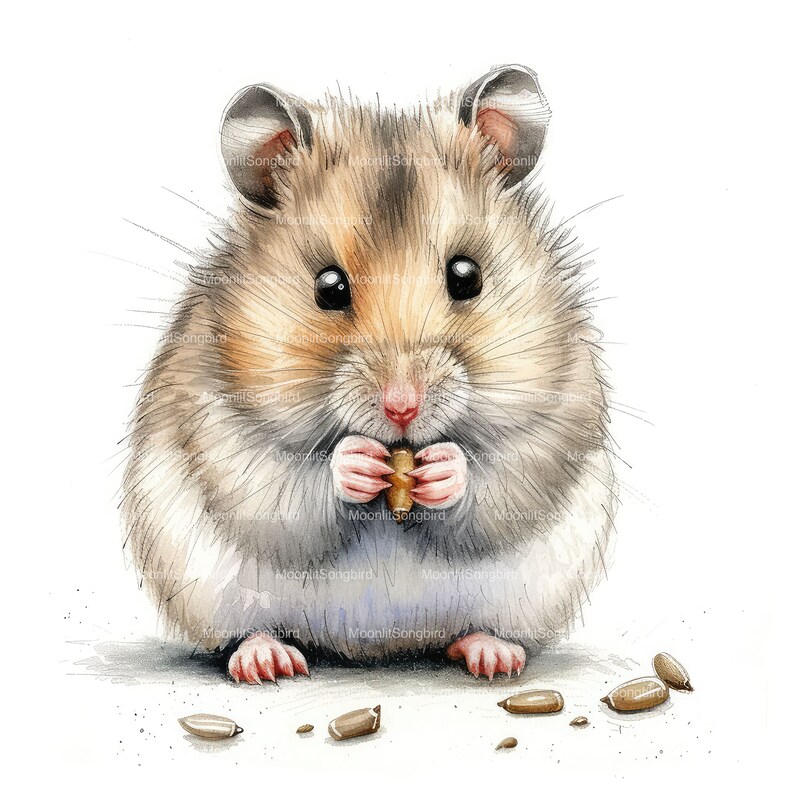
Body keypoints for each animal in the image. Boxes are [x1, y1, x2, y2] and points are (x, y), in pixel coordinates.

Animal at [122, 64, 617, 683]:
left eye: (467, 276)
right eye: (328, 287)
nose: (401, 407)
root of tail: (376, 648)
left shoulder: (558, 416)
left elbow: (501, 474)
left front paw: (443, 469)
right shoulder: (220, 427)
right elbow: (288, 485)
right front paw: (355, 463)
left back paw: (492, 657)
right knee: (245, 632)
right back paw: (268, 662)